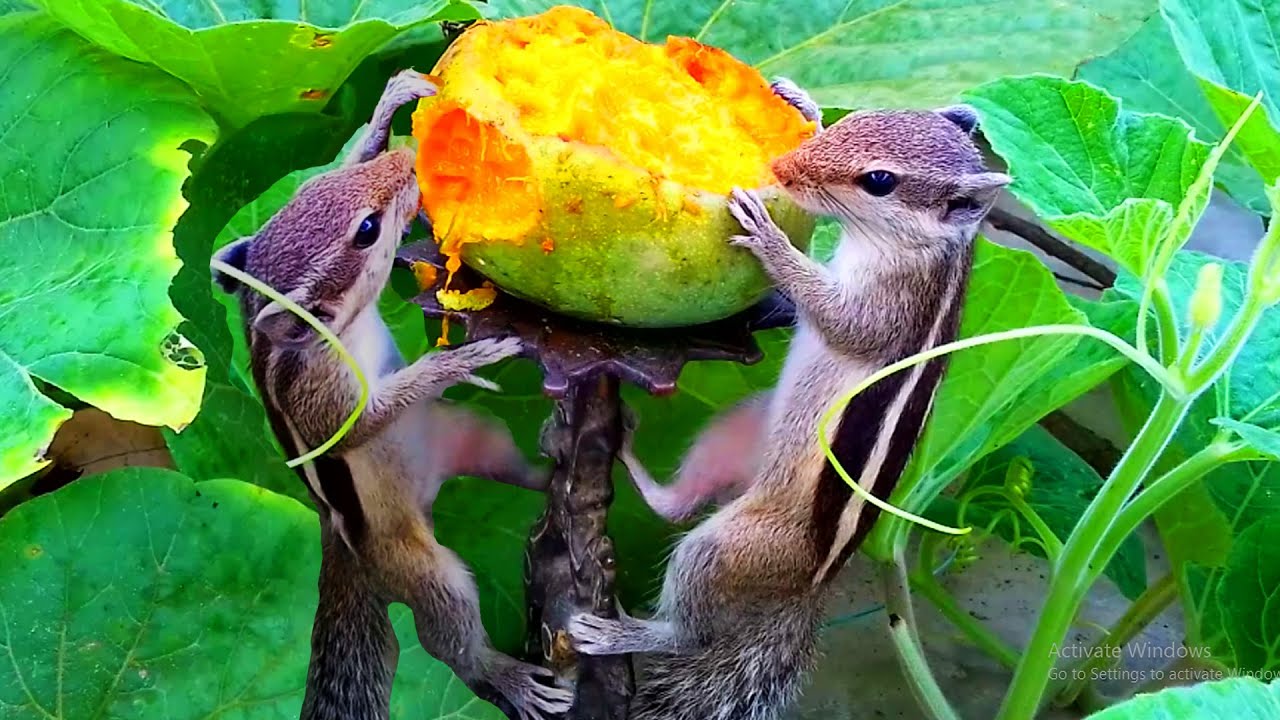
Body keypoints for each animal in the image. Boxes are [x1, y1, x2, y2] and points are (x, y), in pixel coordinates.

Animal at [212, 69, 573, 720]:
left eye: (318, 184)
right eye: (367, 231)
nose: (409, 161)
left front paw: (390, 103)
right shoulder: (323, 396)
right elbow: (365, 420)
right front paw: (458, 360)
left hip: (474, 433)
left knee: (516, 467)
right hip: (420, 569)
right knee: (448, 640)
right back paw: (506, 676)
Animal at [567, 86, 1011, 720]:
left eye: (879, 180)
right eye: (858, 117)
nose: (783, 169)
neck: (932, 247)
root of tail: (808, 590)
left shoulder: (890, 306)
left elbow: (837, 316)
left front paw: (770, 240)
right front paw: (804, 106)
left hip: (729, 547)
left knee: (689, 629)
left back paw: (622, 633)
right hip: (738, 428)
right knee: (676, 505)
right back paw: (625, 447)